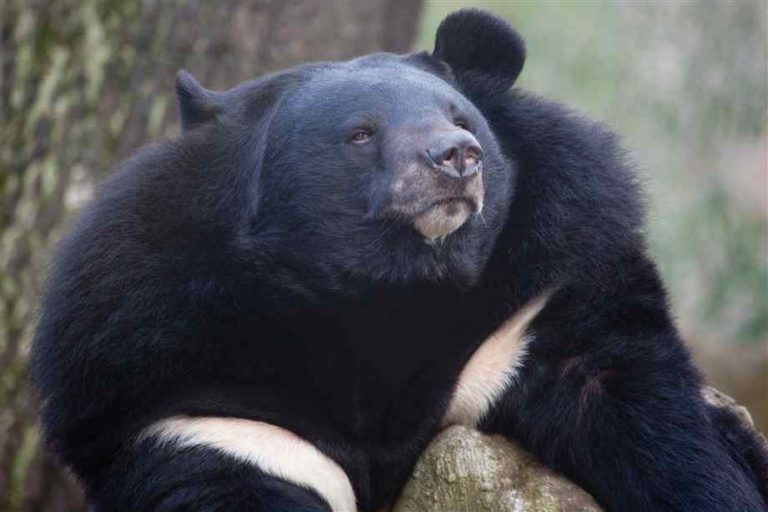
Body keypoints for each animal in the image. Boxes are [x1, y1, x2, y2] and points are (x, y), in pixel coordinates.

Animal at [31, 9, 768, 512]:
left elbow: (652, 428)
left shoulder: (543, 286)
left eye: (462, 120)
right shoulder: (188, 386)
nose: (457, 158)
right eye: (361, 134)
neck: (387, 293)